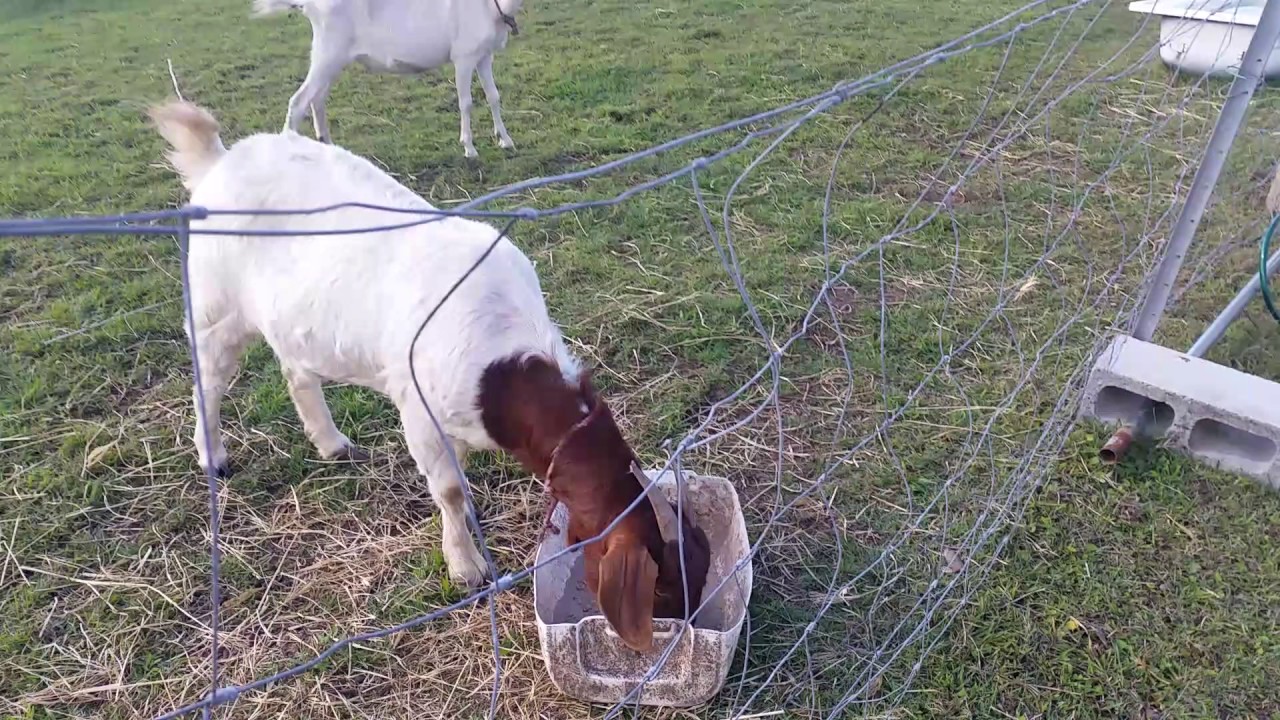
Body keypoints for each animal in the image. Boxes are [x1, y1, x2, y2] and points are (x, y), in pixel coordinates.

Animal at [148, 100, 709, 651]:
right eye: (659, 589)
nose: (682, 632)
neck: (501, 372)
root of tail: (219, 160)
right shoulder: (418, 412)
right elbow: (451, 490)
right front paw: (466, 567)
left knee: (295, 370)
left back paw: (333, 444)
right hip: (214, 306)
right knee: (208, 380)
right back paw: (214, 457)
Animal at [253, 0, 520, 157]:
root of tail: (309, 6)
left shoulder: (484, 55)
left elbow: (493, 96)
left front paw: (506, 140)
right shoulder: (463, 57)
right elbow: (466, 103)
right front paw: (469, 148)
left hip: (331, 59)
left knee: (316, 99)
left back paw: (327, 145)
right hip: (328, 53)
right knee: (299, 101)